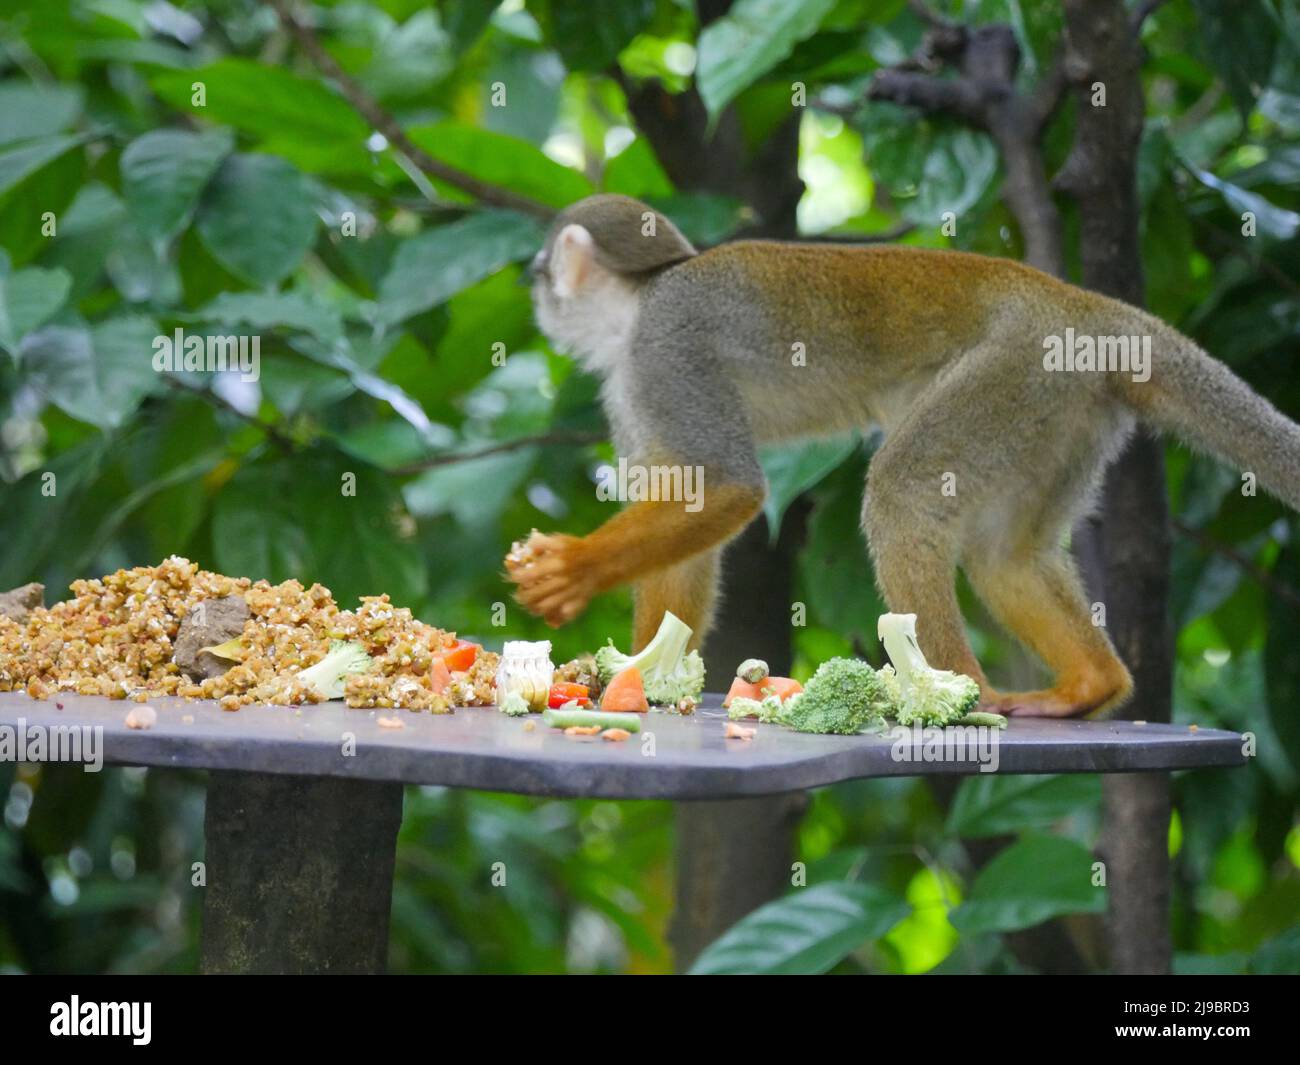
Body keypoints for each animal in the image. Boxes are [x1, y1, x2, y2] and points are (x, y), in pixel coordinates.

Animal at [505, 193, 1300, 718]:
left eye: (542, 271)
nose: (535, 291)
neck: (638, 304)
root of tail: (1084, 307)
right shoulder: (633, 381)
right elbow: (692, 505)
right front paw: (637, 675)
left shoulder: (666, 349)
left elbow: (727, 487)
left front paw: (575, 568)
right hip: (1063, 406)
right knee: (1005, 553)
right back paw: (1087, 687)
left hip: (1015, 370)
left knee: (903, 492)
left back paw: (959, 698)